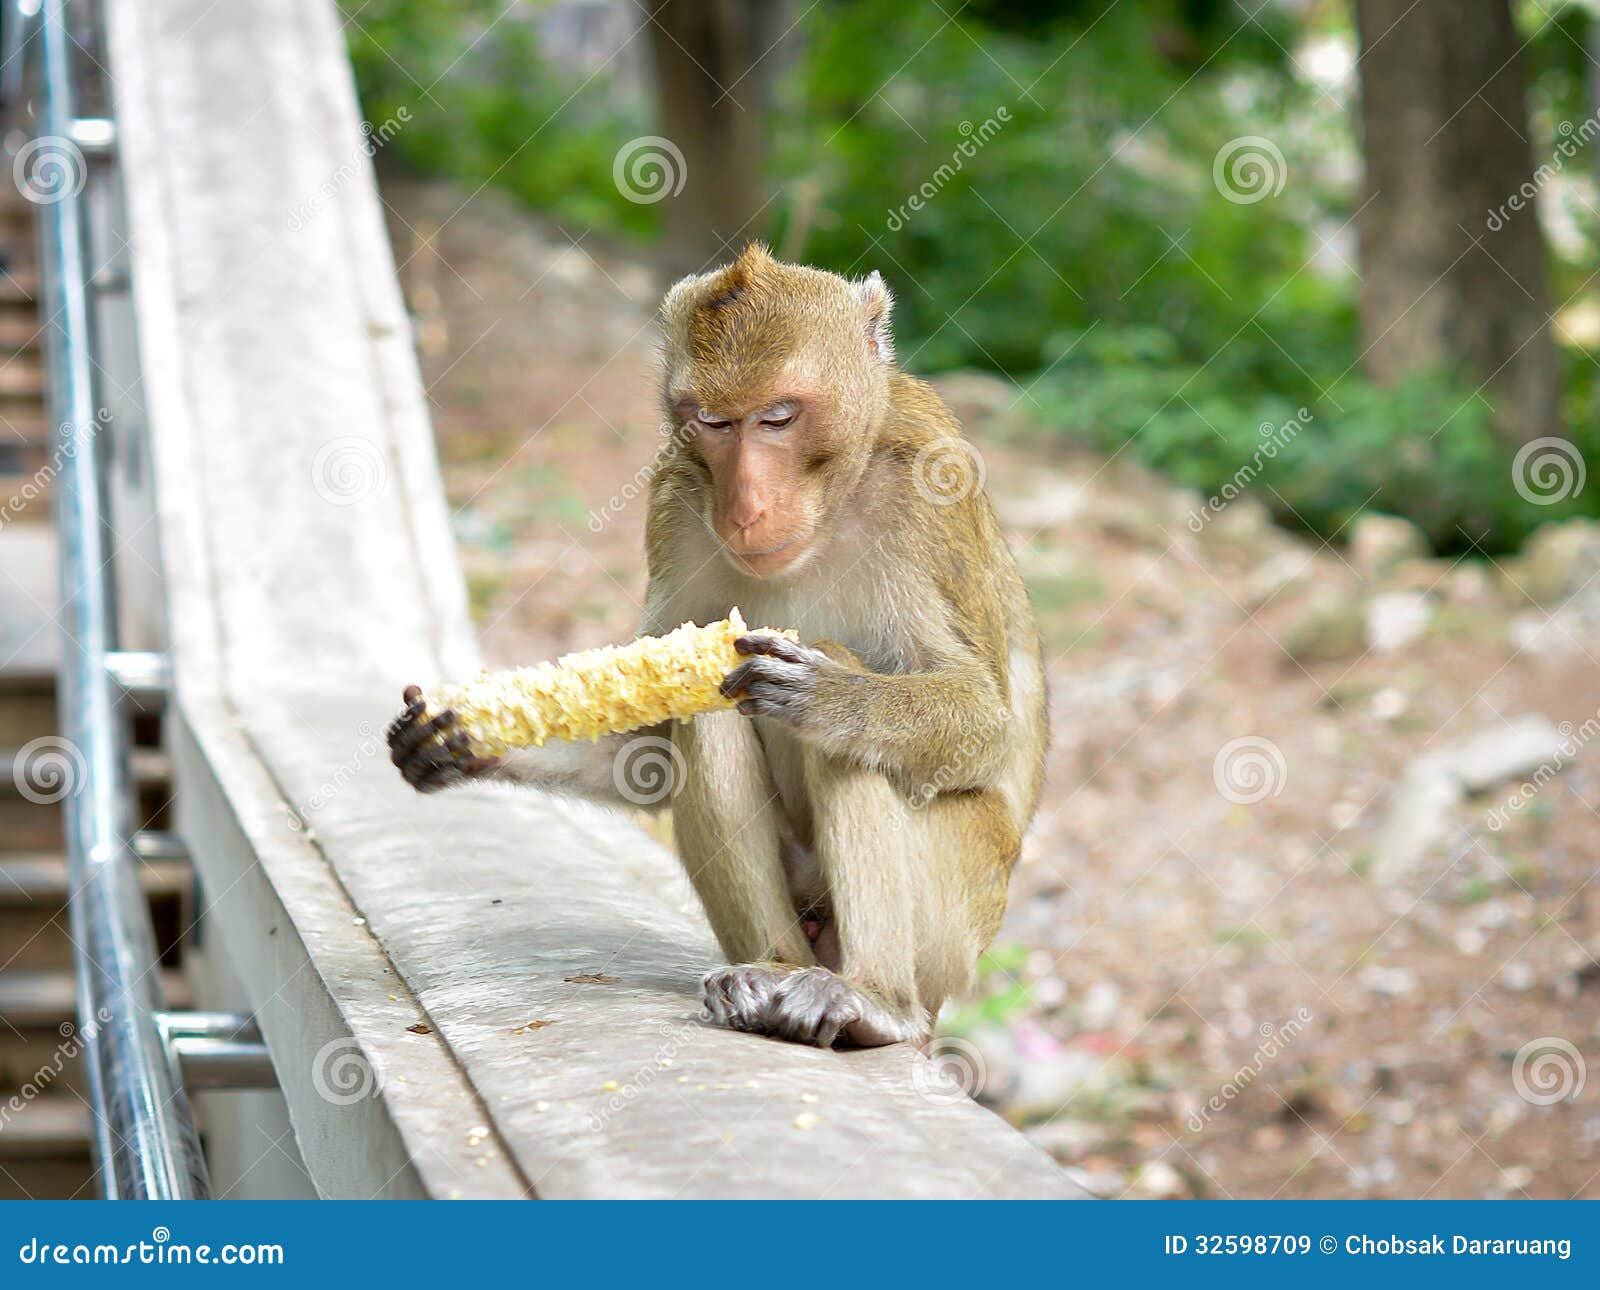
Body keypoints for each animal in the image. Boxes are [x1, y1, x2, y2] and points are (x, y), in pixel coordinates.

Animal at [389, 243, 1046, 1049]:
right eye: (712, 422)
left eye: (778, 418)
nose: (745, 507)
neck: (835, 504)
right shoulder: (674, 497)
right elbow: (644, 747)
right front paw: (456, 736)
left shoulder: (931, 486)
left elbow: (987, 724)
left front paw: (830, 696)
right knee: (706, 715)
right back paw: (768, 970)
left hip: (960, 917)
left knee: (859, 740)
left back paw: (872, 999)